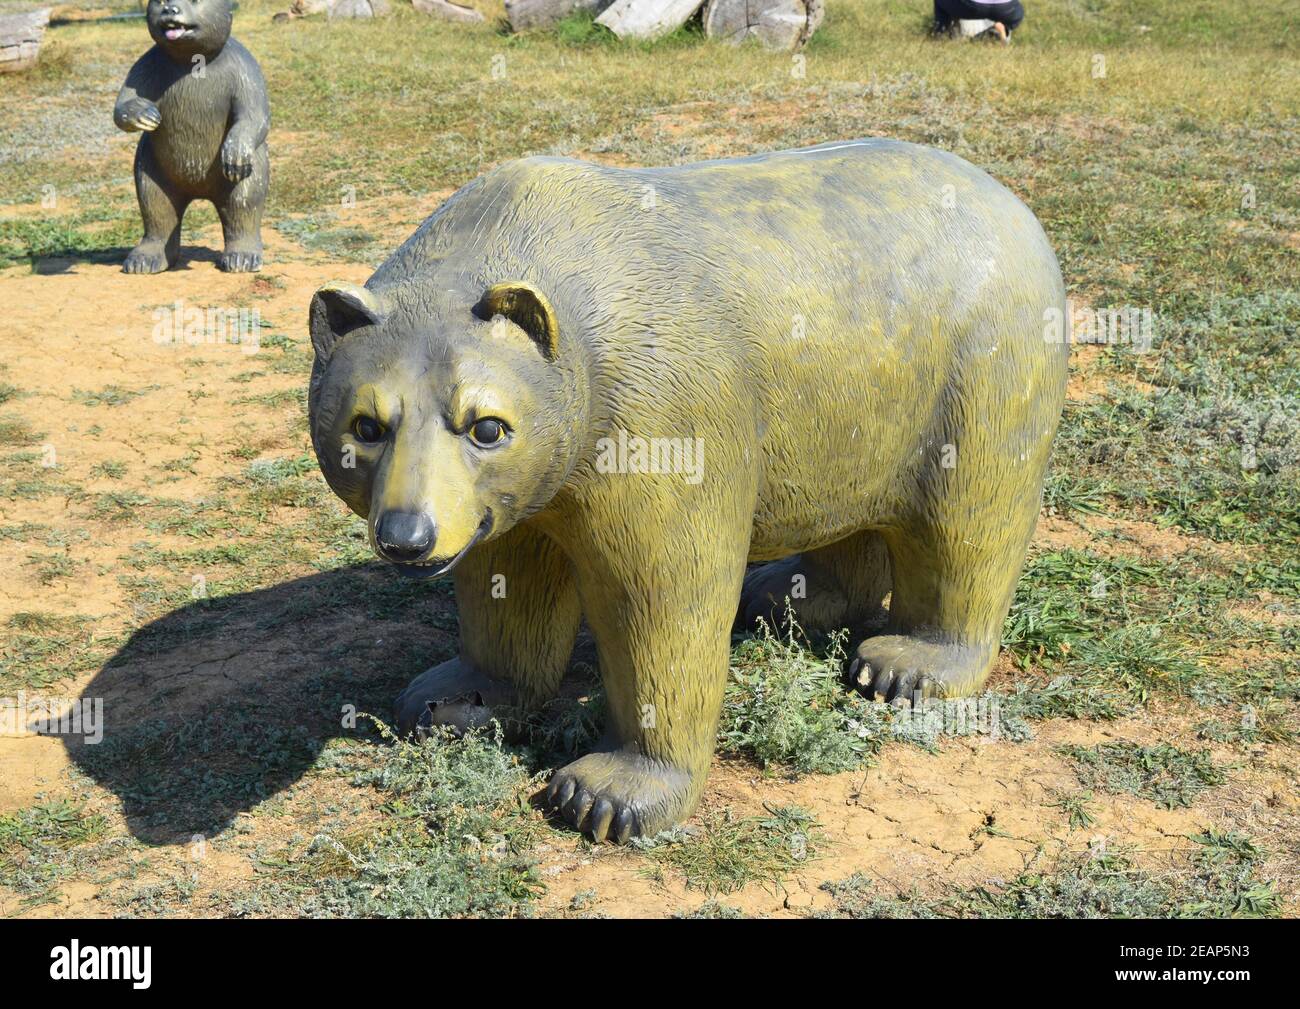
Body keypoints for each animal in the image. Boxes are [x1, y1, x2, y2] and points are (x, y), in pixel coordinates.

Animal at [113, 0, 269, 273]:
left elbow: (254, 114)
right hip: (151, 166)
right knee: (156, 206)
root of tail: (200, 191)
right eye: (160, 2)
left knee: (244, 201)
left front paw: (234, 153)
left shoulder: (244, 67)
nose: (171, 9)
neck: (193, 60)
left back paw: (242, 257)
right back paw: (145, 259)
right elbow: (122, 104)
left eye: (196, 1)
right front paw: (144, 114)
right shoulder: (146, 63)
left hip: (252, 167)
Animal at [307, 139, 1068, 843]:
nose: (407, 537)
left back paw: (906, 664)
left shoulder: (656, 411)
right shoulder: (526, 486)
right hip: (857, 388)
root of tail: (1009, 199)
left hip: (981, 365)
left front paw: (605, 793)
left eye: (486, 425)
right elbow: (509, 576)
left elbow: (660, 596)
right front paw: (448, 698)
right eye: (366, 424)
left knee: (968, 518)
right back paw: (784, 595)